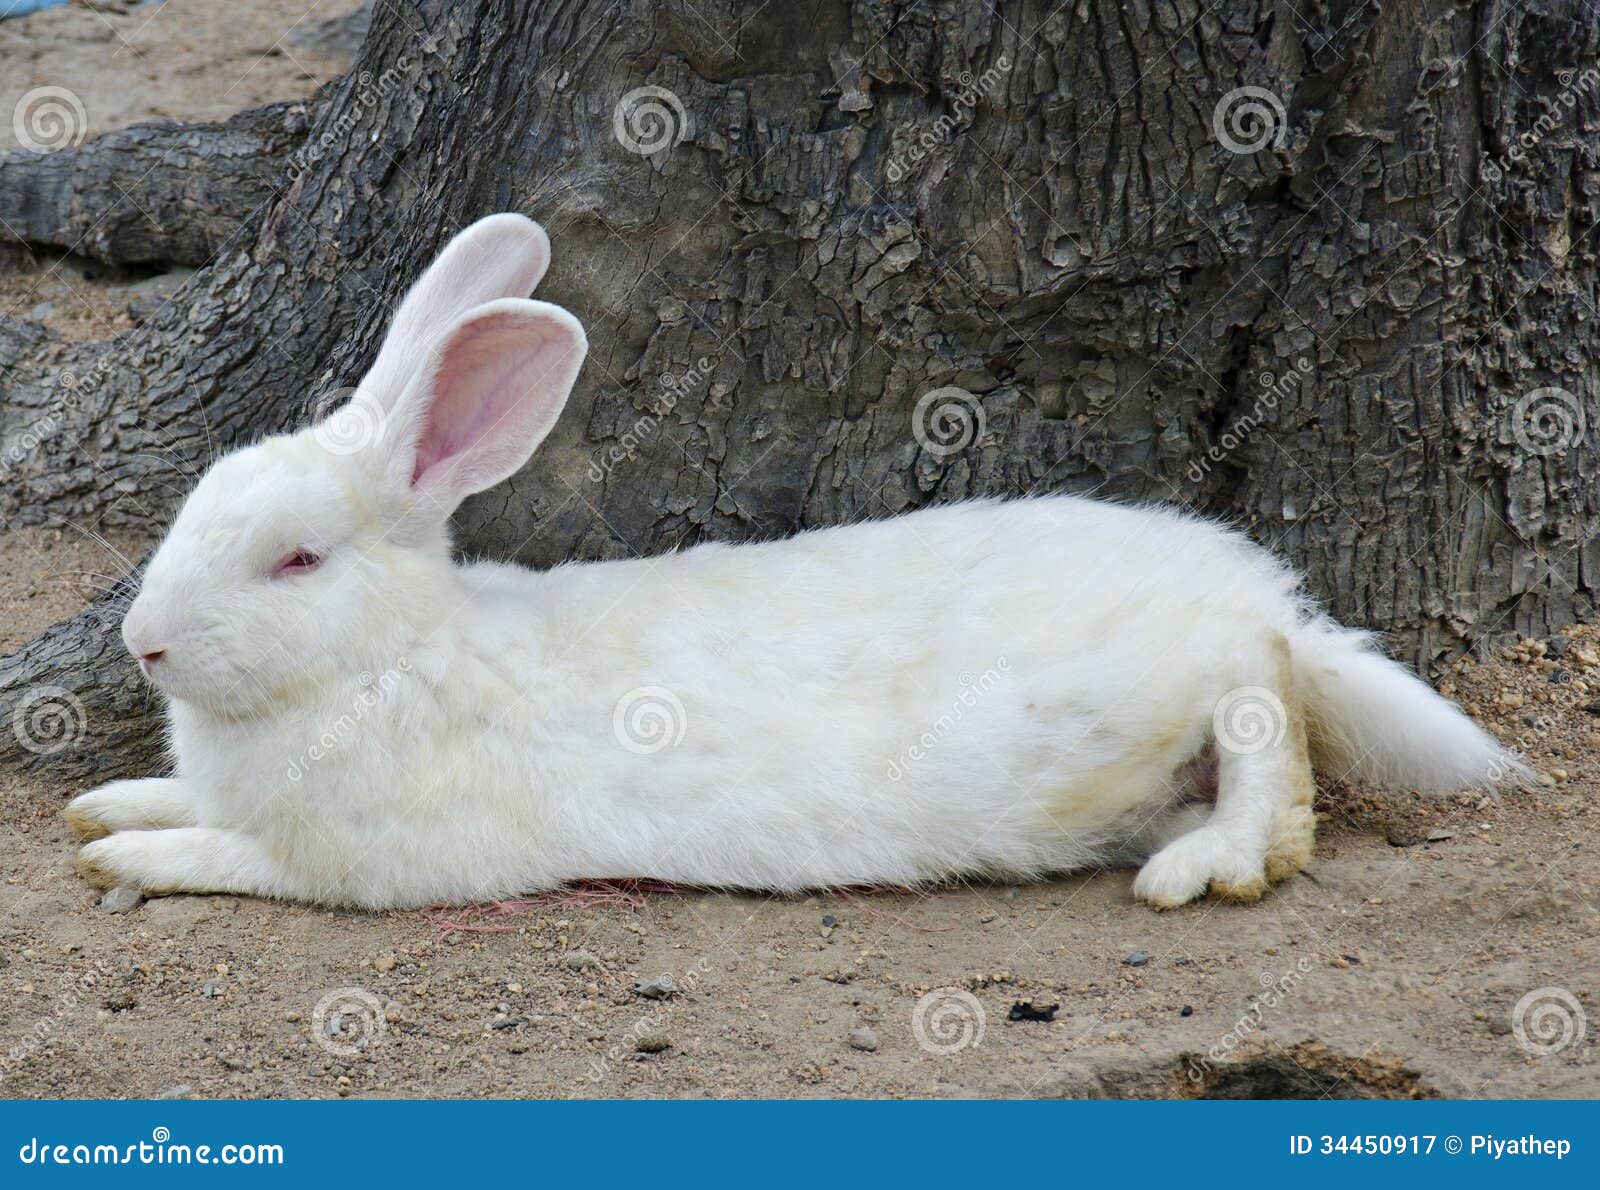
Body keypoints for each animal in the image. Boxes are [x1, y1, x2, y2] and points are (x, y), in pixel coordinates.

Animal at [65, 213, 1526, 911]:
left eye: (297, 560)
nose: (143, 642)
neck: (392, 657)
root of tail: (1255, 592)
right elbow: (174, 799)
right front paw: (107, 804)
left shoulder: (362, 865)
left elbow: (231, 856)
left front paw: (129, 855)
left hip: (1207, 674)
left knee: (1264, 714)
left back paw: (1215, 863)